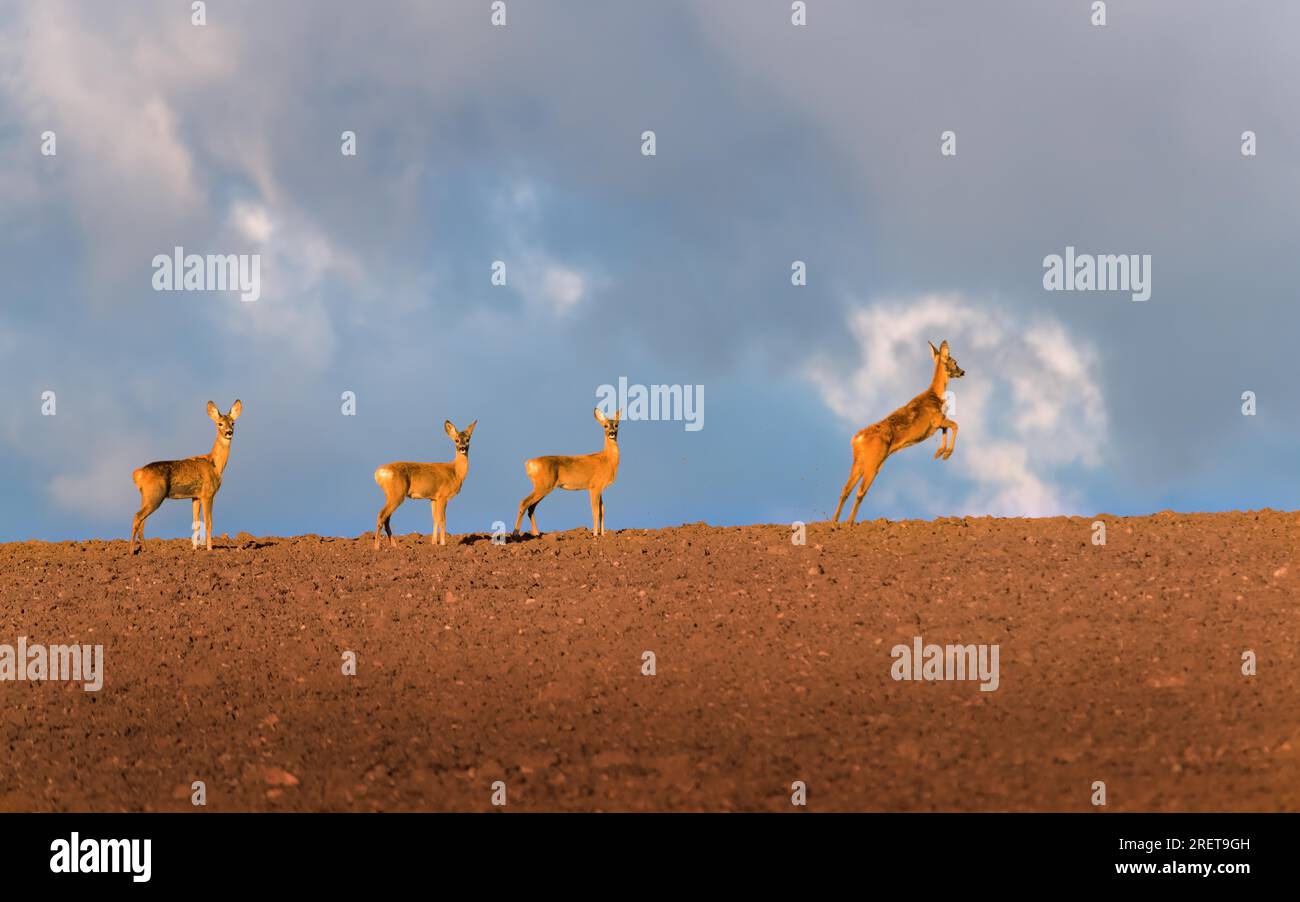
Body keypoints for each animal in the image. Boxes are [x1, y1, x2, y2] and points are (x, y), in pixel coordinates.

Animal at [130, 400, 243, 554]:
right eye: (219, 423)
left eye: (233, 422)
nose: (229, 432)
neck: (215, 465)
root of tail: (138, 473)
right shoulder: (207, 493)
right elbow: (208, 522)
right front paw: (209, 549)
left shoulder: (195, 496)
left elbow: (196, 523)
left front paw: (194, 548)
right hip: (155, 494)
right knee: (137, 517)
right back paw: (131, 551)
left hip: (147, 496)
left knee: (142, 521)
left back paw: (145, 550)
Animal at [373, 420, 477, 548]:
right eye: (456, 440)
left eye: (468, 439)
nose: (462, 448)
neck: (455, 473)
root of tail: (379, 473)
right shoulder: (443, 496)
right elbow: (442, 520)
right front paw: (443, 544)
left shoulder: (433, 498)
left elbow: (435, 519)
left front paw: (434, 543)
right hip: (397, 494)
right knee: (381, 515)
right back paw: (377, 547)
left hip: (391, 495)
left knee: (387, 519)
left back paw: (394, 545)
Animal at [514, 407, 620, 538]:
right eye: (605, 425)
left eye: (617, 425)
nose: (612, 433)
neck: (607, 460)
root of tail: (529, 464)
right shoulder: (594, 486)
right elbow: (595, 511)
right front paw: (595, 534)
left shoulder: (600, 487)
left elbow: (602, 510)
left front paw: (603, 534)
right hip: (543, 485)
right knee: (524, 502)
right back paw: (515, 534)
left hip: (542, 486)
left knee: (531, 507)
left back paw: (536, 534)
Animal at [832, 340, 965, 524]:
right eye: (954, 361)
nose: (963, 371)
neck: (936, 396)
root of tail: (857, 439)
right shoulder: (937, 420)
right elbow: (955, 425)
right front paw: (946, 454)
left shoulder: (936, 424)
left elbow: (947, 429)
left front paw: (939, 453)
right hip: (874, 461)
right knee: (860, 491)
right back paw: (849, 522)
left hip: (859, 461)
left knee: (845, 490)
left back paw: (833, 522)